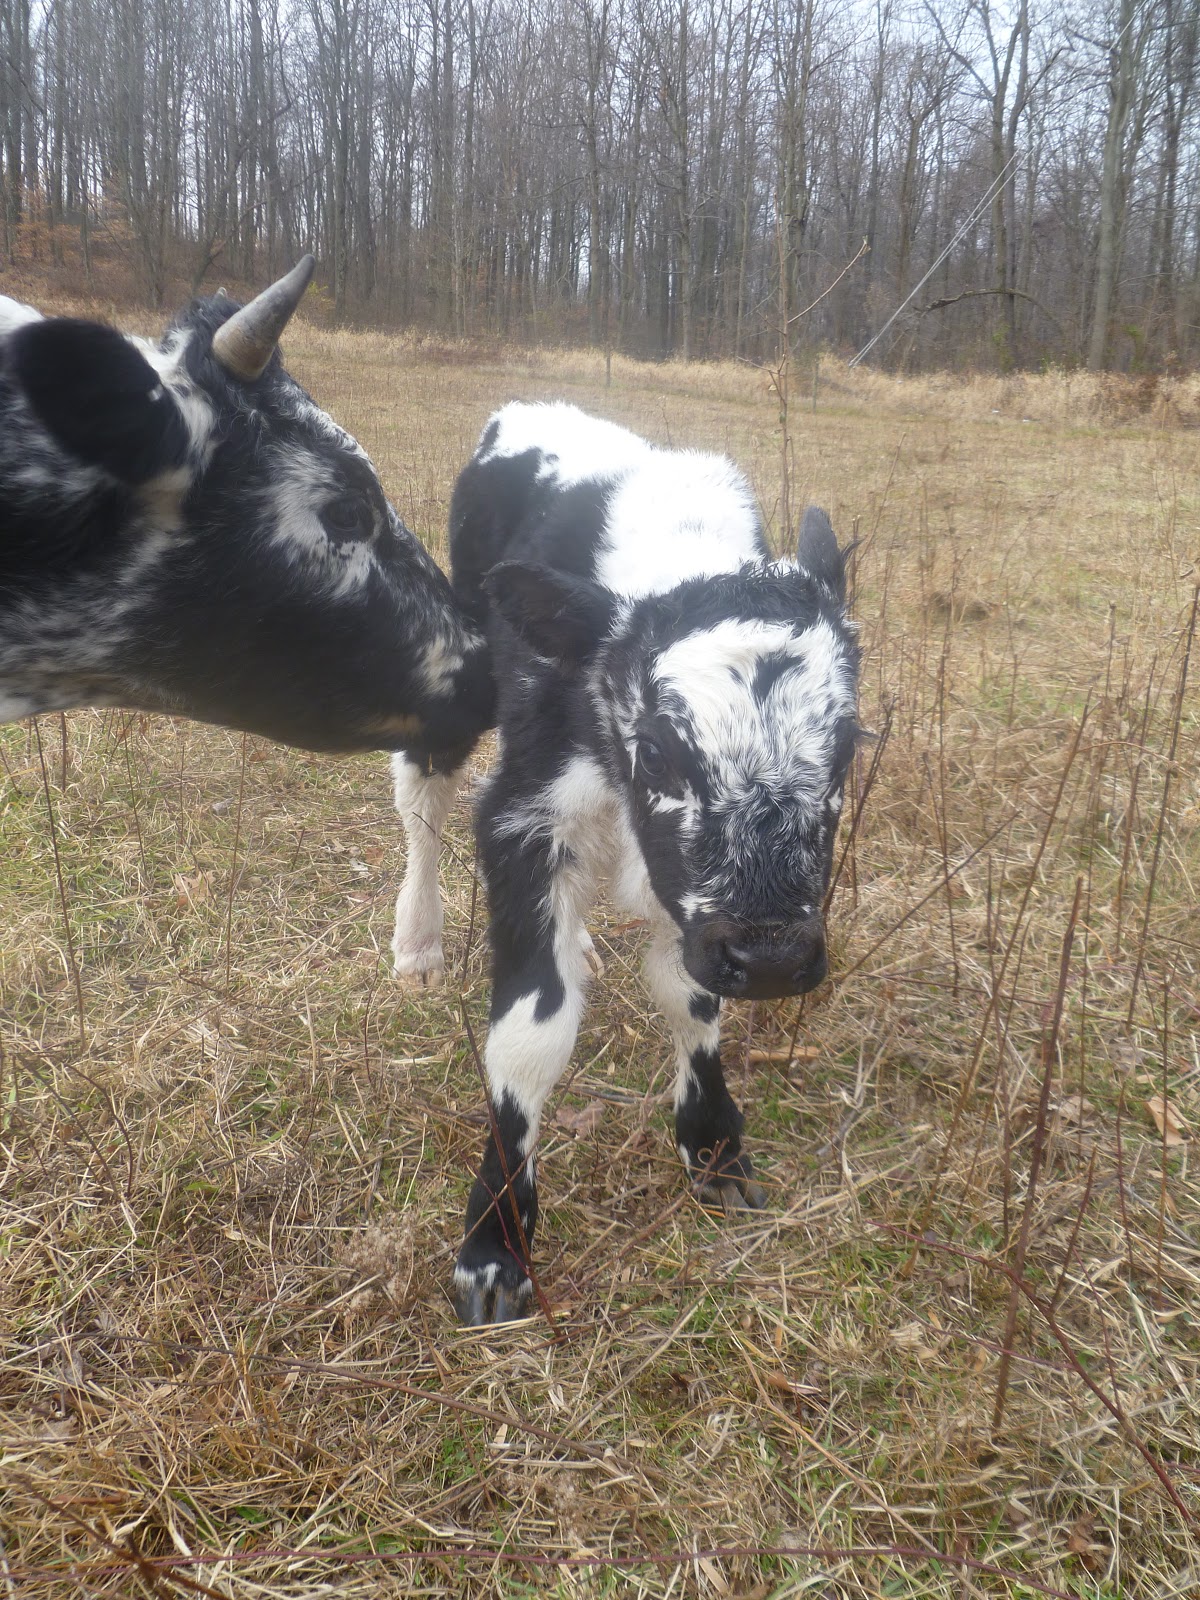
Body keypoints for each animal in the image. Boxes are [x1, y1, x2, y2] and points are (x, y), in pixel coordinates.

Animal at [390, 402, 861, 1324]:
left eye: (852, 743)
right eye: (660, 749)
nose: (775, 960)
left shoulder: (699, 912)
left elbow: (692, 997)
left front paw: (714, 1147)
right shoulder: (524, 816)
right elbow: (531, 1032)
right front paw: (495, 1241)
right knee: (422, 792)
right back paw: (418, 943)